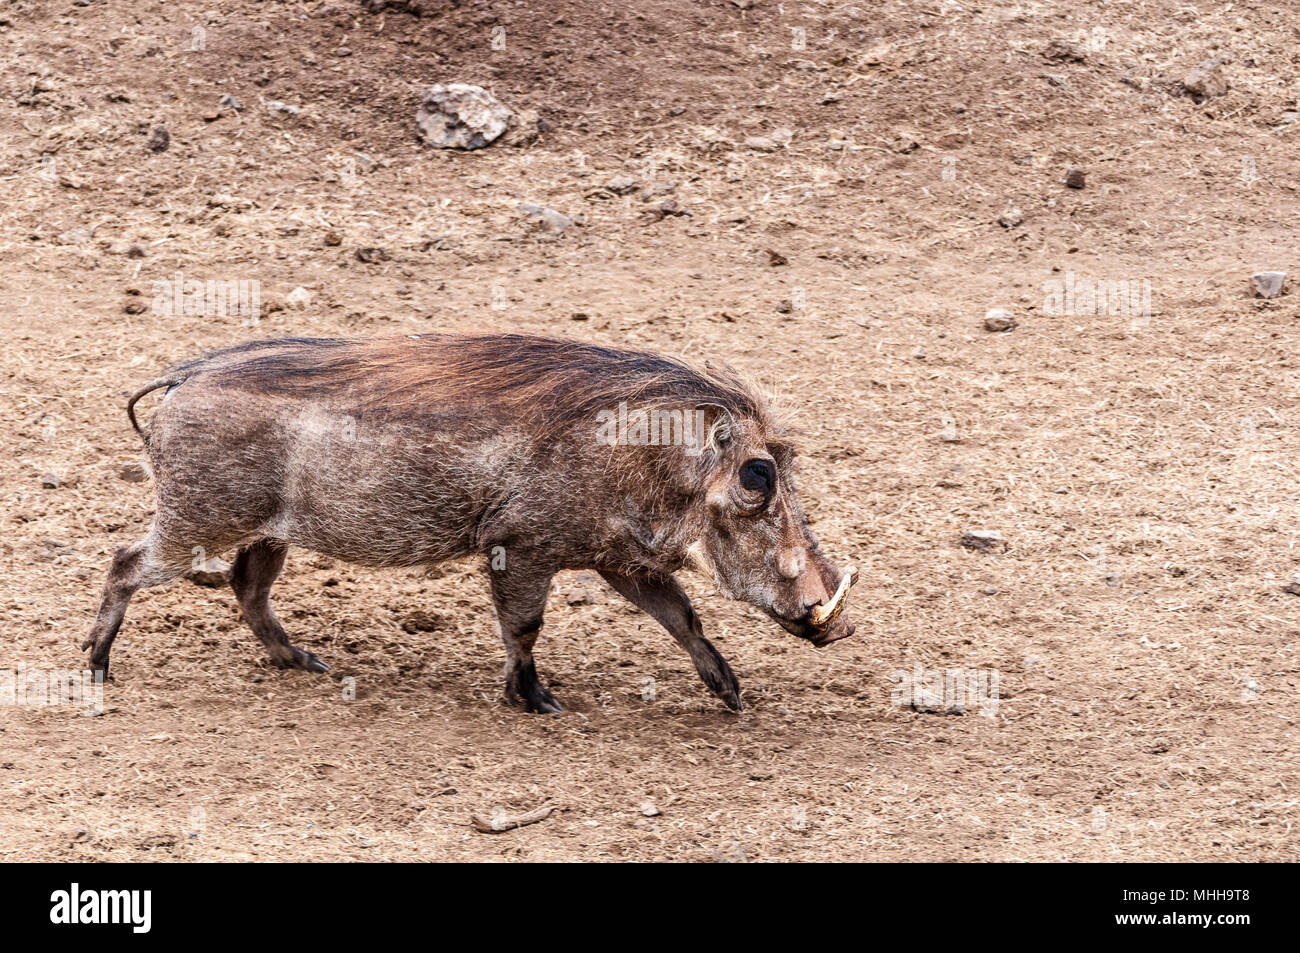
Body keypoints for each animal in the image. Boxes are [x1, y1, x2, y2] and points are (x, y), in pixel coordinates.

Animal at [84, 334, 858, 712]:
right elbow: (525, 626)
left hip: (266, 530)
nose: (843, 625)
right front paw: (536, 701)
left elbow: (683, 618)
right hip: (198, 521)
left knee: (249, 589)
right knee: (125, 561)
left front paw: (732, 695)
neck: (647, 459)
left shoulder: (621, 559)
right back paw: (95, 666)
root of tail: (183, 377)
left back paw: (306, 663)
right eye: (759, 478)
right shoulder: (522, 546)